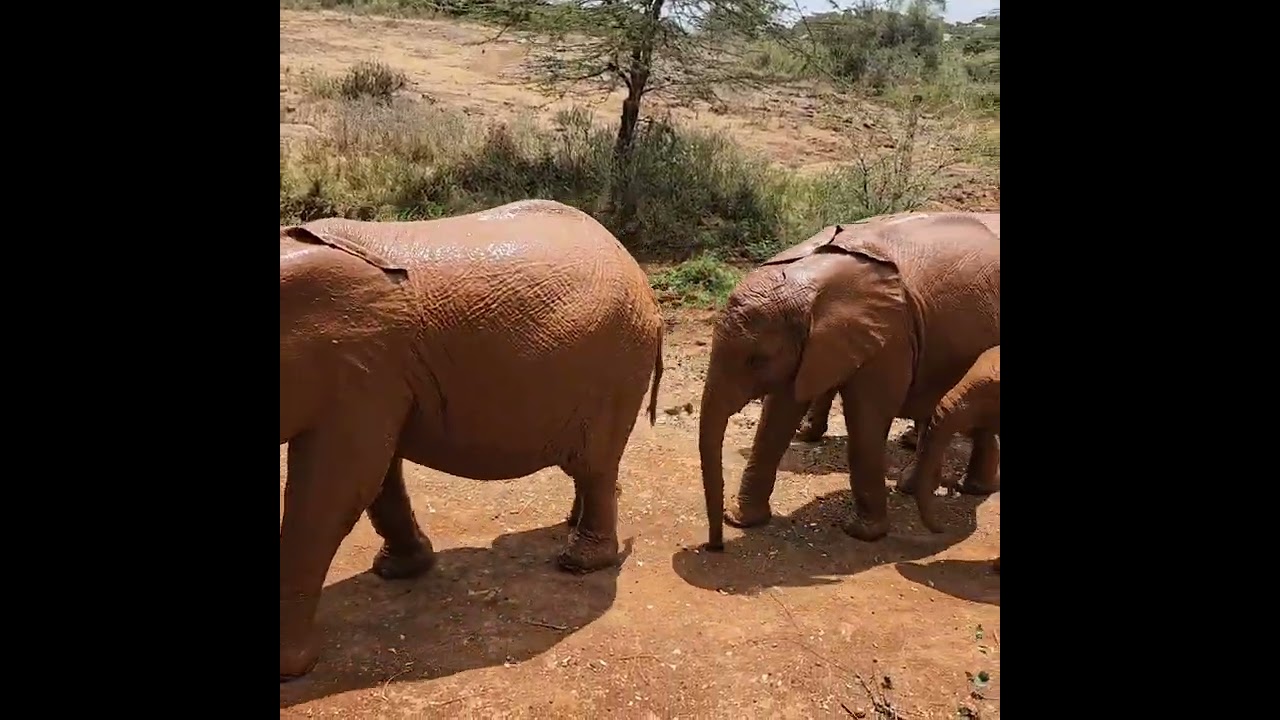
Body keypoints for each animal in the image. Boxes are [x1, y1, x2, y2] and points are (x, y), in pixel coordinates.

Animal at [279, 199, 664, 681]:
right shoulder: (370, 374)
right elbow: (373, 476)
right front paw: (399, 571)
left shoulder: (360, 368)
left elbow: (334, 490)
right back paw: (570, 526)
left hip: (617, 363)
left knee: (594, 465)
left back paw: (577, 562)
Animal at [698, 211, 999, 550]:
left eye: (756, 360)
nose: (715, 546)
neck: (812, 280)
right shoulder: (809, 349)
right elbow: (776, 418)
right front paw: (743, 520)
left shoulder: (889, 337)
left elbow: (866, 422)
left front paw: (861, 533)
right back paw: (935, 486)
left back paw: (965, 488)